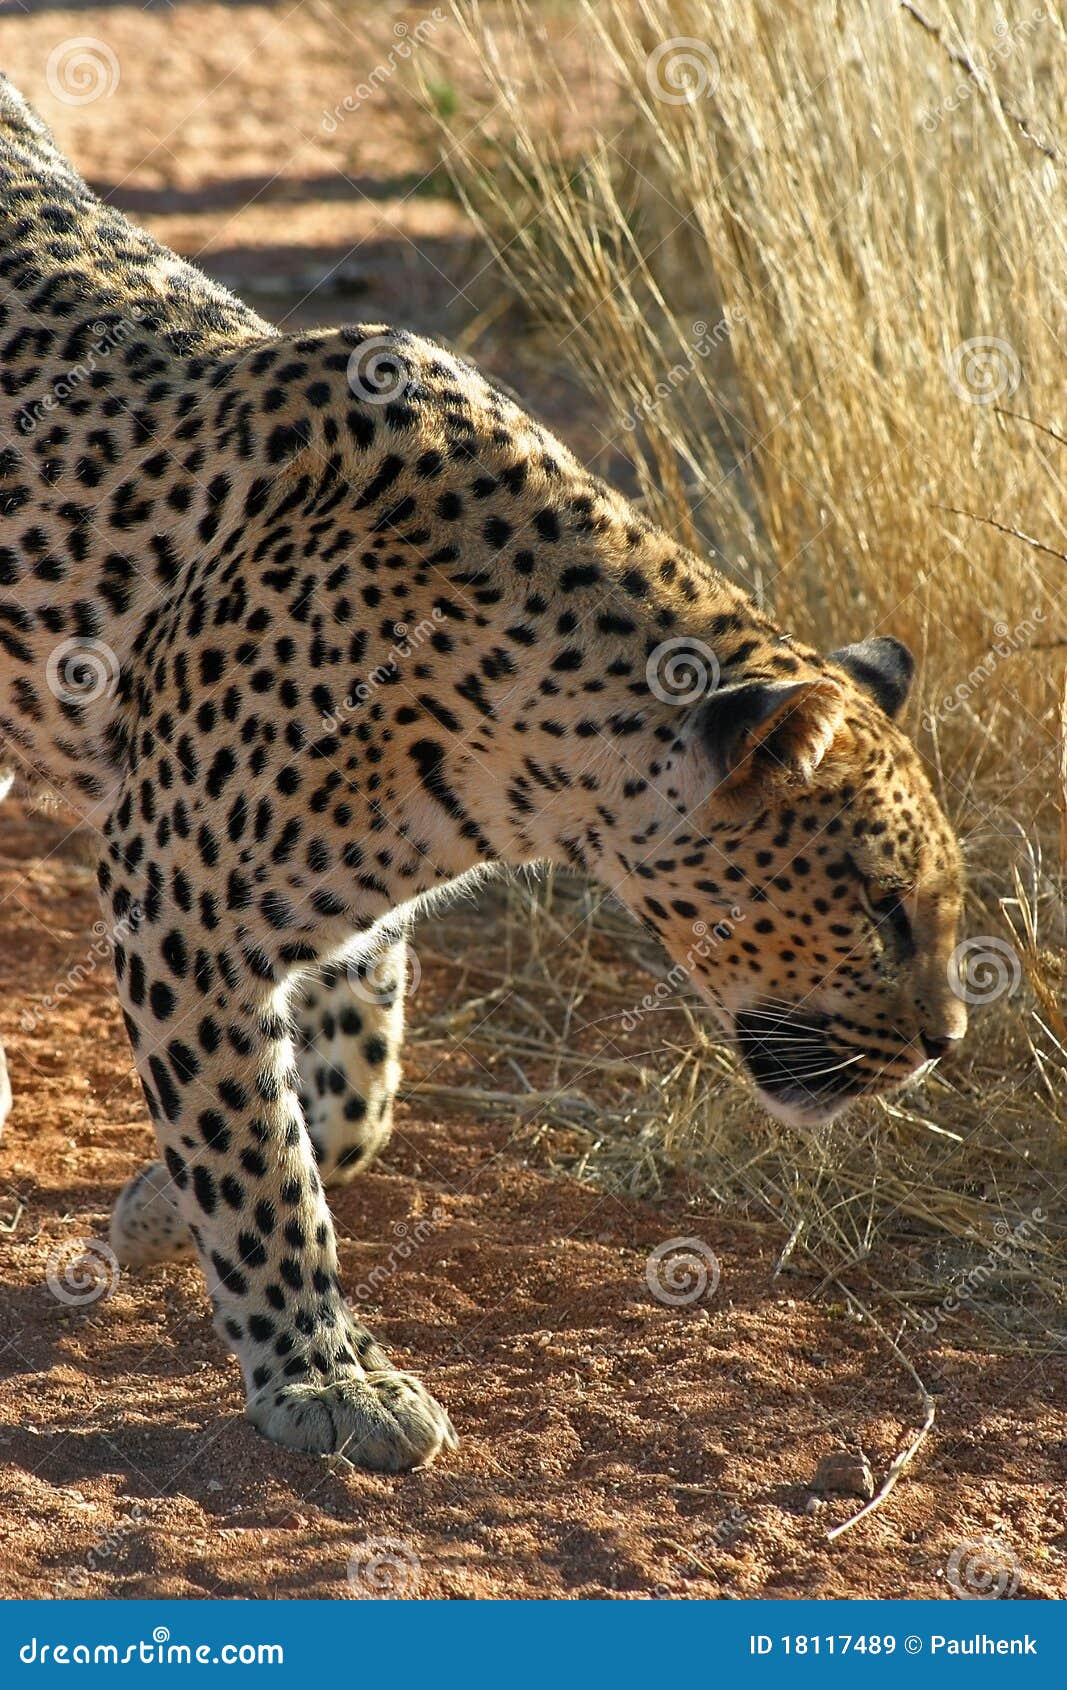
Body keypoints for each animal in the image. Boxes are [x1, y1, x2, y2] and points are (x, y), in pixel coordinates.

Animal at [0, 76, 966, 1471]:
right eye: (881, 910)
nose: (948, 1042)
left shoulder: (343, 920)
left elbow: (344, 1111)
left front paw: (148, 1215)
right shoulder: (178, 896)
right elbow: (257, 1155)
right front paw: (322, 1376)